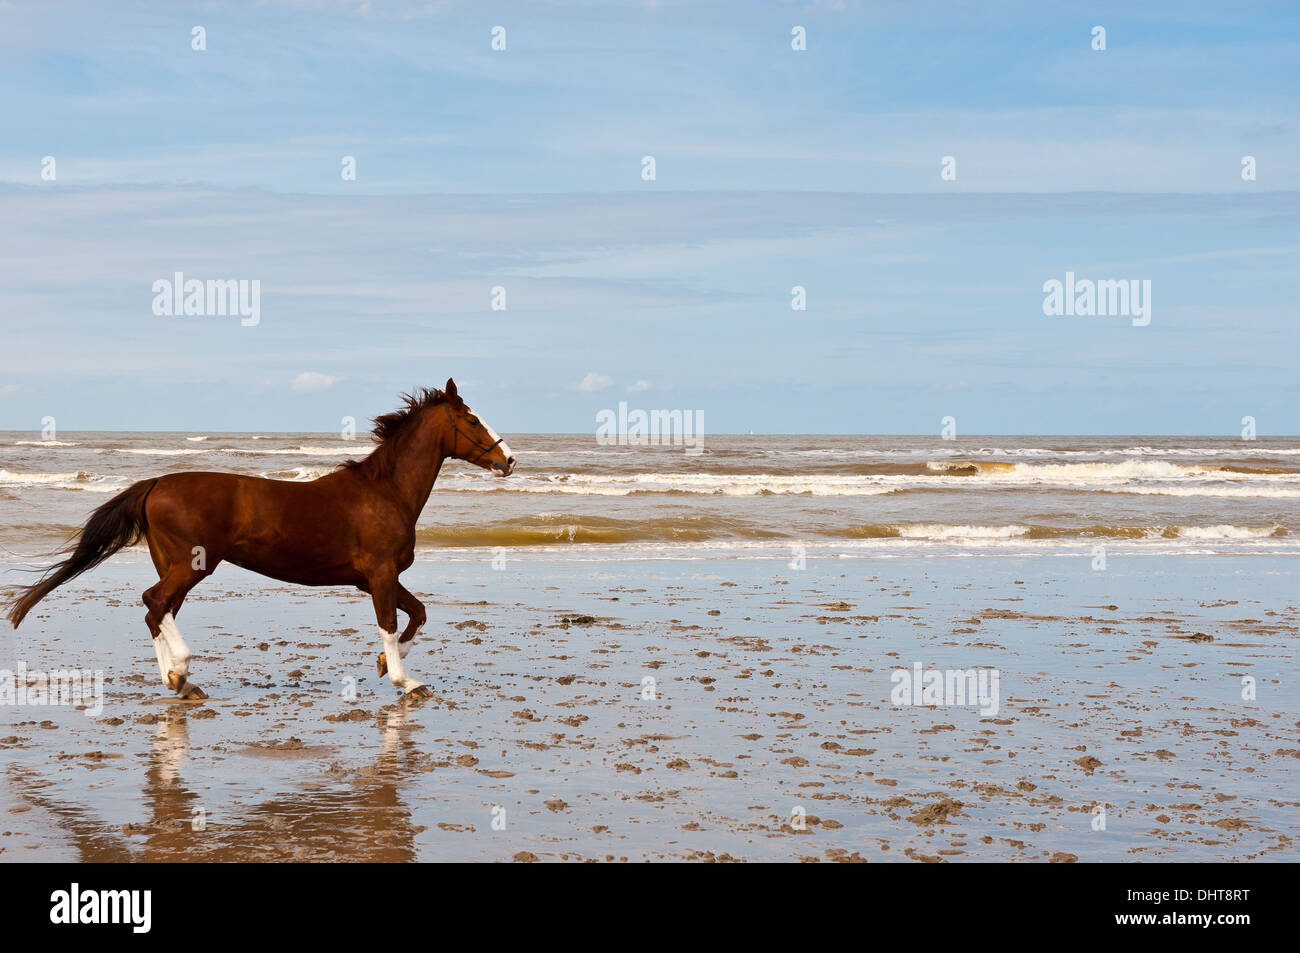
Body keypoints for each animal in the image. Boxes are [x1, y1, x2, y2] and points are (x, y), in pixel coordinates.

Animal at [4, 378, 515, 701]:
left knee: (157, 611)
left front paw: (385, 665)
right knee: (154, 602)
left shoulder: (370, 579)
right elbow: (392, 623)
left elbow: (418, 614)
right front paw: (405, 682)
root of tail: (156, 483)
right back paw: (181, 671)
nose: (508, 460)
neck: (385, 492)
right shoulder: (380, 574)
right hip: (194, 564)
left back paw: (178, 681)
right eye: (471, 420)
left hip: (172, 564)